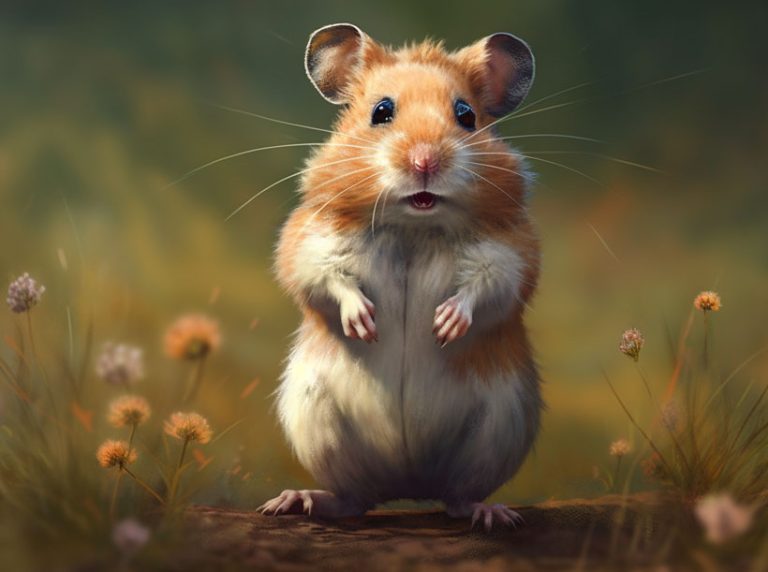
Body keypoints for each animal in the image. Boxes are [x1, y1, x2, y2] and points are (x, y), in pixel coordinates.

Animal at [259, 23, 542, 531]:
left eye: (466, 115)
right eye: (381, 111)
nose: (424, 162)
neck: (414, 225)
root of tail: (409, 488)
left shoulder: (511, 252)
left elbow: (487, 285)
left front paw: (445, 326)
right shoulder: (309, 241)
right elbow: (327, 277)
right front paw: (364, 324)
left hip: (497, 430)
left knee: (458, 497)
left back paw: (491, 513)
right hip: (319, 425)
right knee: (353, 499)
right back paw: (295, 498)